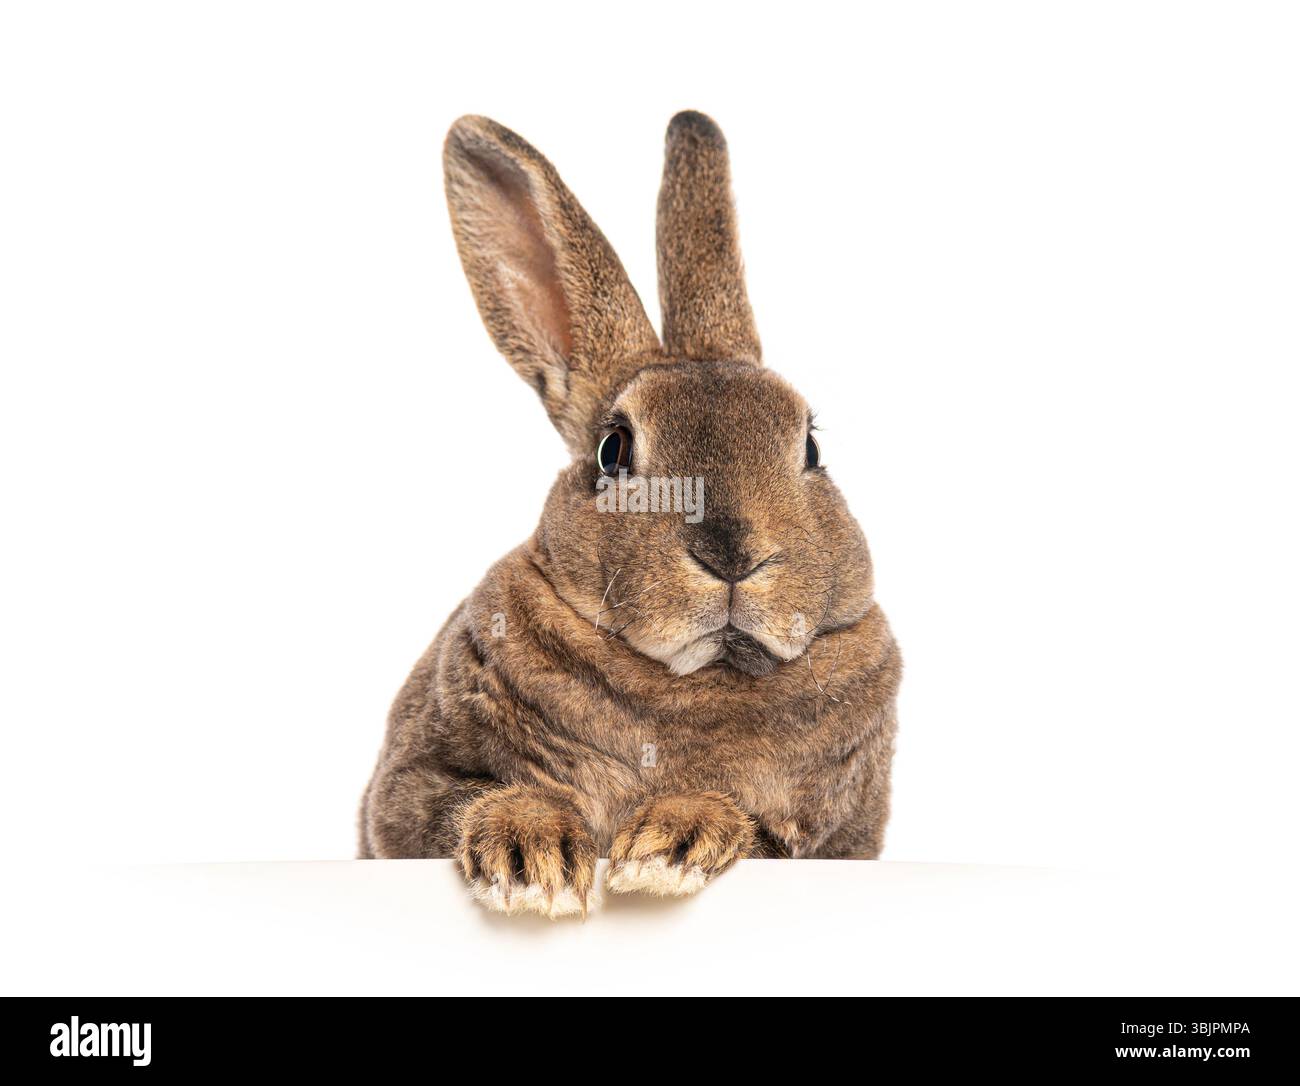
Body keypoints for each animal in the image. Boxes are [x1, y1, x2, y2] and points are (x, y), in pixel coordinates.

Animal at [359, 111, 901, 918]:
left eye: (809, 445)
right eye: (613, 449)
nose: (732, 554)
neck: (699, 678)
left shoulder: (831, 840)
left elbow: (750, 827)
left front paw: (668, 844)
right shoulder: (406, 791)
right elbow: (466, 802)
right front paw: (531, 858)